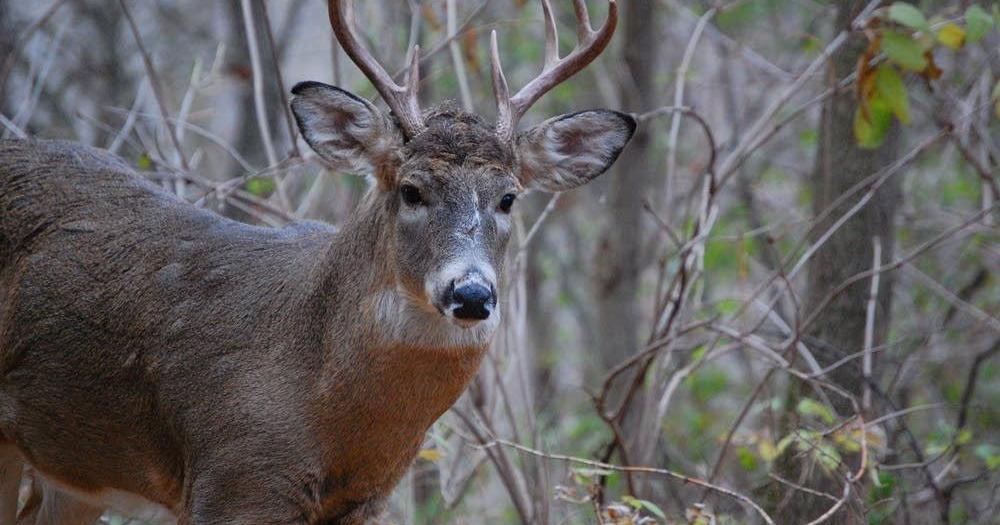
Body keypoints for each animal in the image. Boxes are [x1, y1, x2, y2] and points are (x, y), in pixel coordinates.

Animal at [0, 0, 634, 523]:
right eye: (411, 190)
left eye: (508, 198)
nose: (472, 294)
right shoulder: (232, 479)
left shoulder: (362, 502)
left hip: (74, 470)